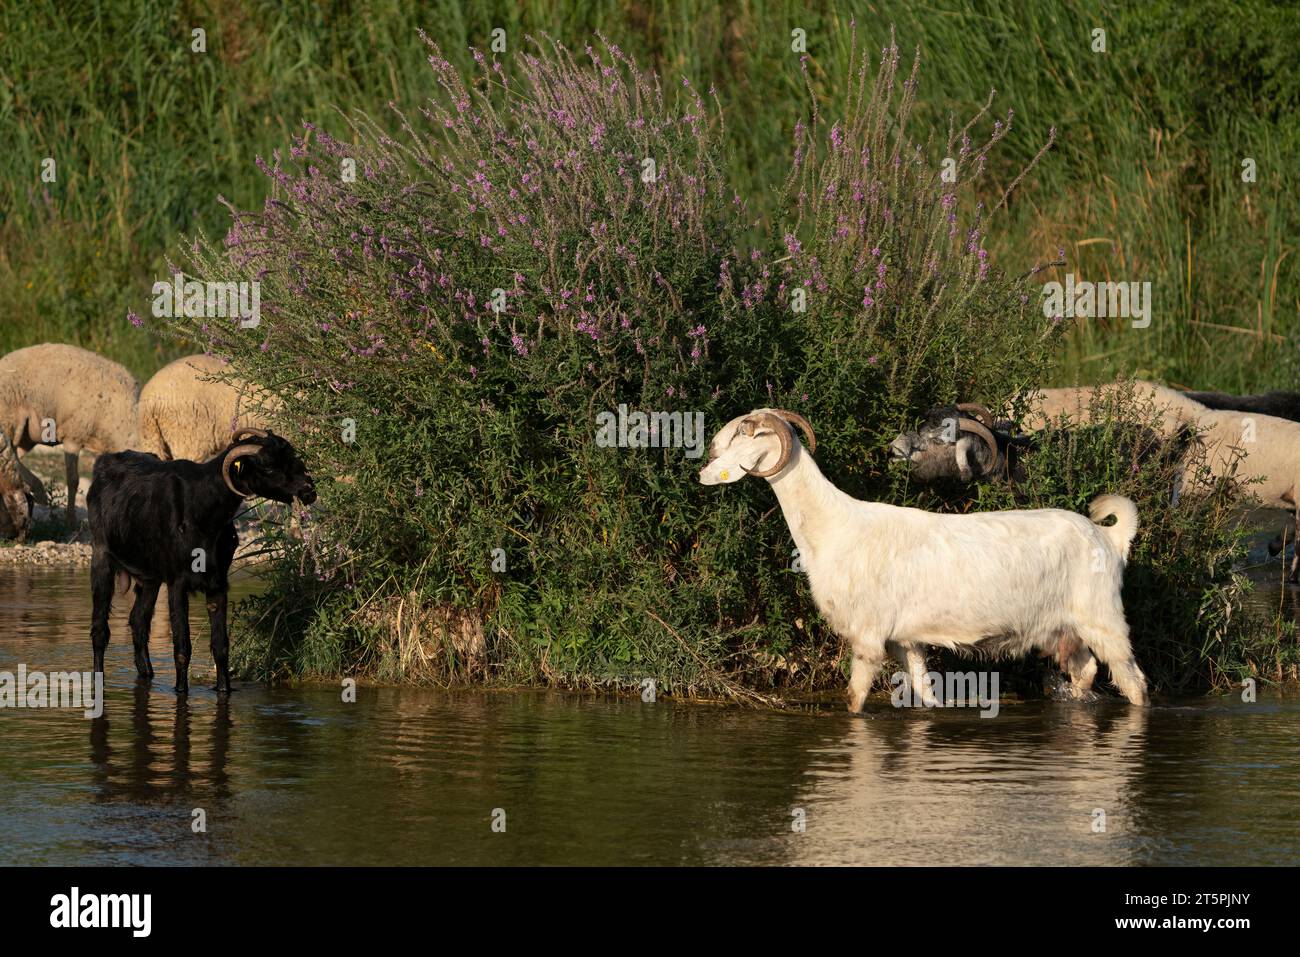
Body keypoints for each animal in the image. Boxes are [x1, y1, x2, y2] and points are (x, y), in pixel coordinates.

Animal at [87, 428, 316, 695]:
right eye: (268, 466)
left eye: (290, 454)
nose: (309, 490)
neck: (203, 509)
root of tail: (104, 465)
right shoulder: (177, 584)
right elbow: (182, 647)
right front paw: (180, 690)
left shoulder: (217, 584)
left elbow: (221, 646)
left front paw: (224, 689)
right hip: (101, 559)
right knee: (100, 630)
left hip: (149, 579)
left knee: (138, 622)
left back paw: (147, 673)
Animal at [700, 409, 1148, 710]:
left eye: (745, 431)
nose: (708, 454)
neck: (834, 526)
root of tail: (1110, 537)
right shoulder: (907, 640)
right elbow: (926, 694)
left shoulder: (868, 636)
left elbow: (854, 698)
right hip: (1063, 630)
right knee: (1086, 670)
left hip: (1104, 619)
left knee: (1135, 682)